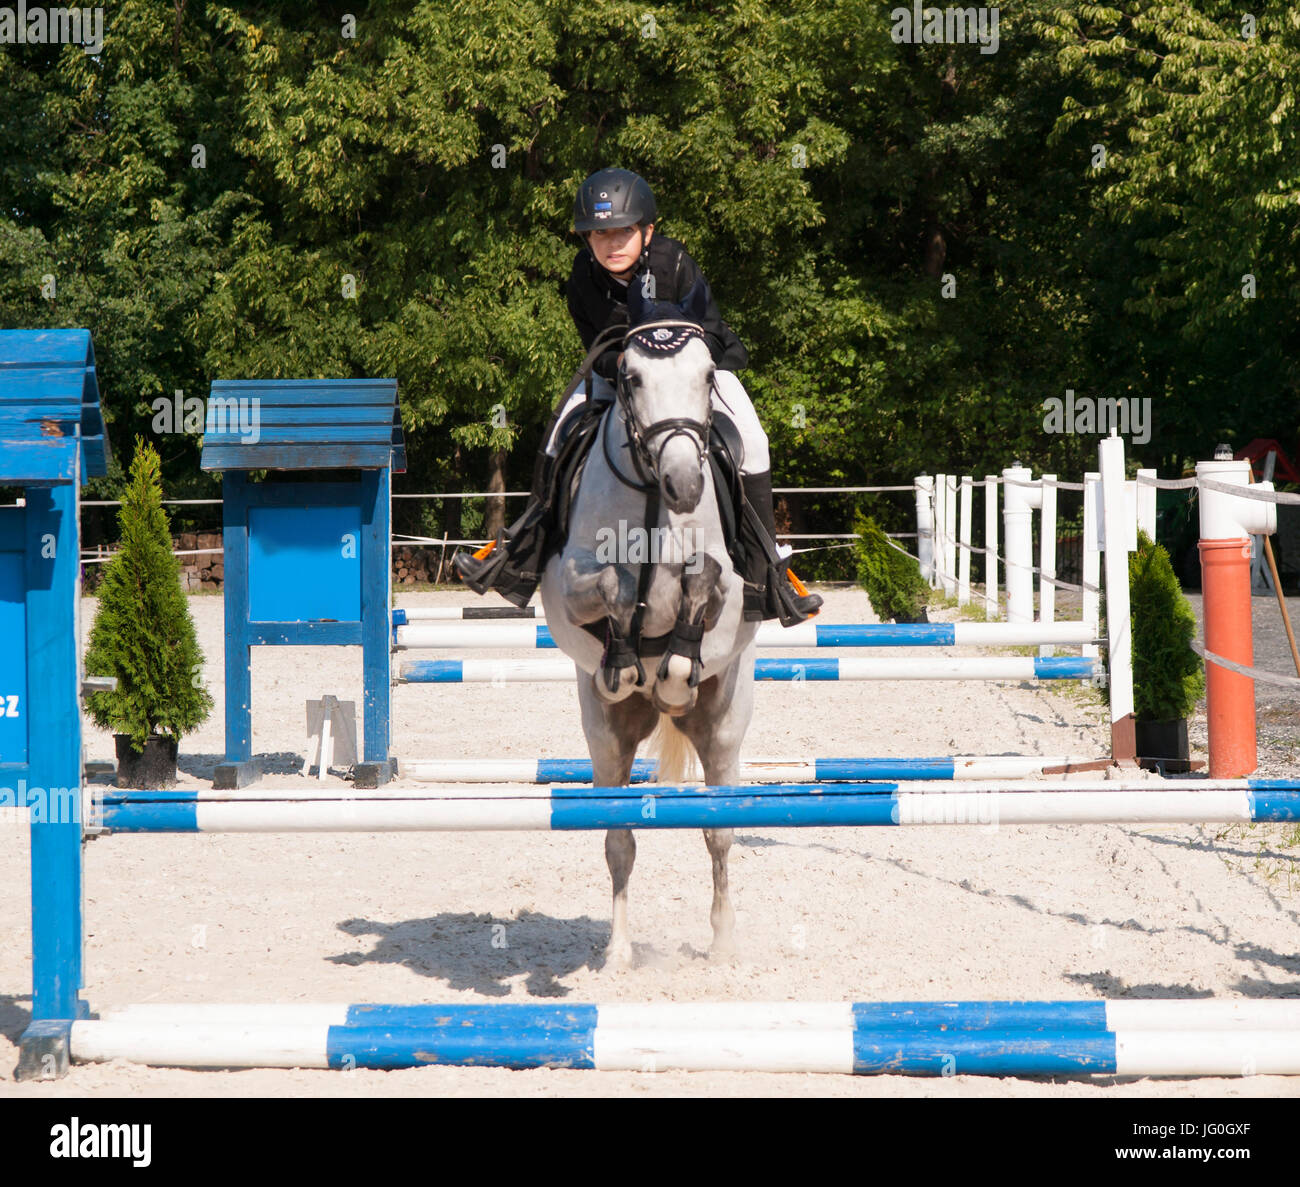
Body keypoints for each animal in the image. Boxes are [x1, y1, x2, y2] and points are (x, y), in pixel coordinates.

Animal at [539, 285, 758, 967]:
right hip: (607, 737)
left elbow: (703, 580)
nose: (685, 483)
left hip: (723, 728)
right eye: (631, 378)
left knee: (720, 836)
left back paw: (724, 945)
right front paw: (623, 657)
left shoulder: (731, 591)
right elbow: (611, 586)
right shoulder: (567, 582)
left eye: (709, 375)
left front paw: (676, 661)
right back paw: (618, 953)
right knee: (619, 841)